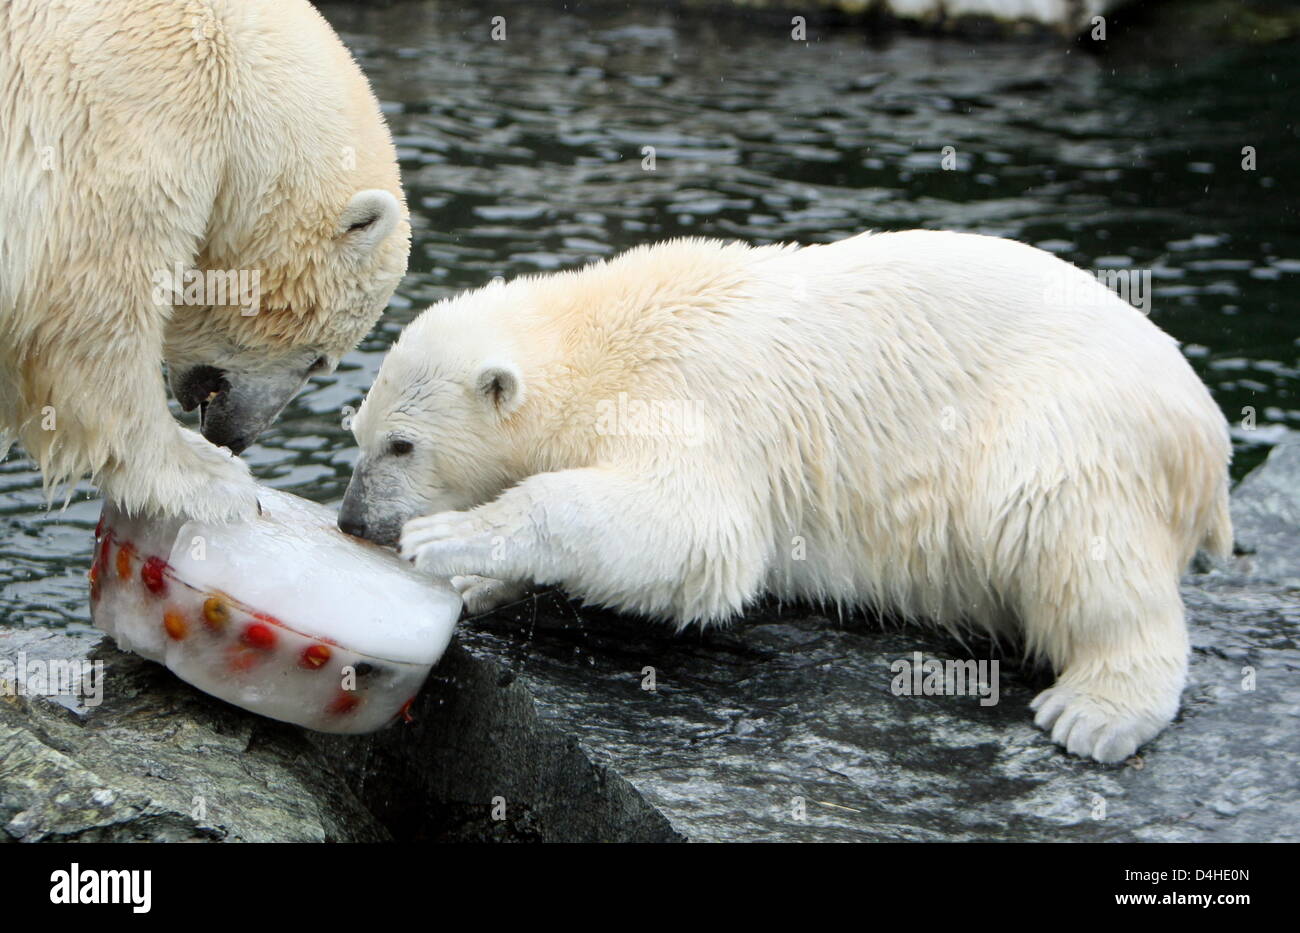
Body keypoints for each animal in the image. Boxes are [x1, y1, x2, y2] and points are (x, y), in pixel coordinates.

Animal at [337, 230, 1233, 764]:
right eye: (357, 431)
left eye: (401, 444)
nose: (353, 517)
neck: (604, 332)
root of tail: (1208, 432)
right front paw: (479, 581)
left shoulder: (689, 394)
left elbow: (693, 531)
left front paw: (452, 539)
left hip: (1072, 416)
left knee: (1060, 522)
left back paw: (1098, 709)